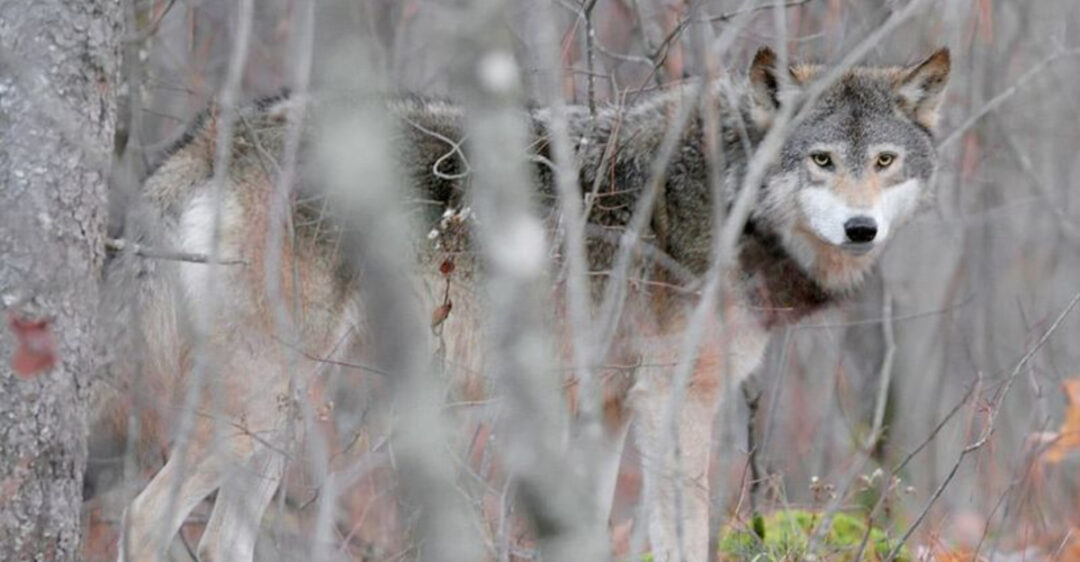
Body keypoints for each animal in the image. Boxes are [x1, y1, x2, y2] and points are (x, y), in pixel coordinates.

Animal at [94, 45, 949, 561]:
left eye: (884, 161)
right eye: (822, 161)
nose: (861, 228)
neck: (729, 194)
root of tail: (217, 133)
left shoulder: (610, 408)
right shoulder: (676, 401)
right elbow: (681, 535)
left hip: (276, 415)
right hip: (263, 401)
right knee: (144, 514)